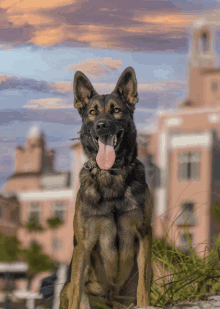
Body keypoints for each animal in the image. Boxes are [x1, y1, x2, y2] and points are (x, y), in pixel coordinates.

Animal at [60, 67, 153, 308]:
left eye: (117, 111)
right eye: (92, 112)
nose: (102, 125)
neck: (110, 175)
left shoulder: (144, 234)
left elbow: (143, 286)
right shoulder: (83, 245)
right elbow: (76, 291)